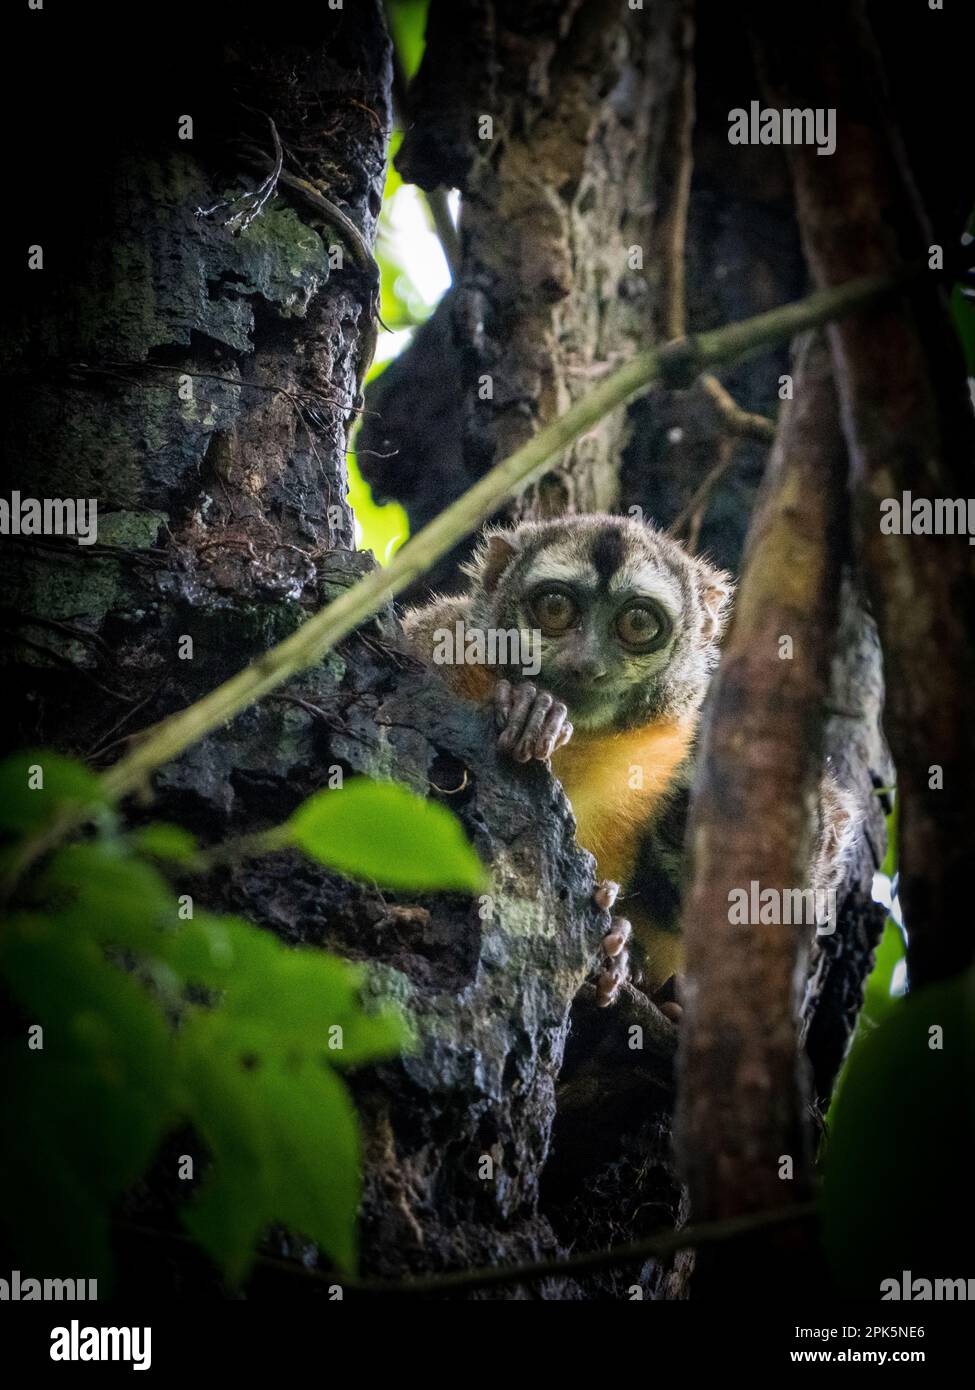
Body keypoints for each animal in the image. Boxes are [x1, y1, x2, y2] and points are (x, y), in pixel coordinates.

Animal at [400, 511, 857, 1016]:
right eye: (555, 608)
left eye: (637, 623)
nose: (586, 664)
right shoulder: (446, 636)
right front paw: (531, 711)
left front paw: (616, 950)